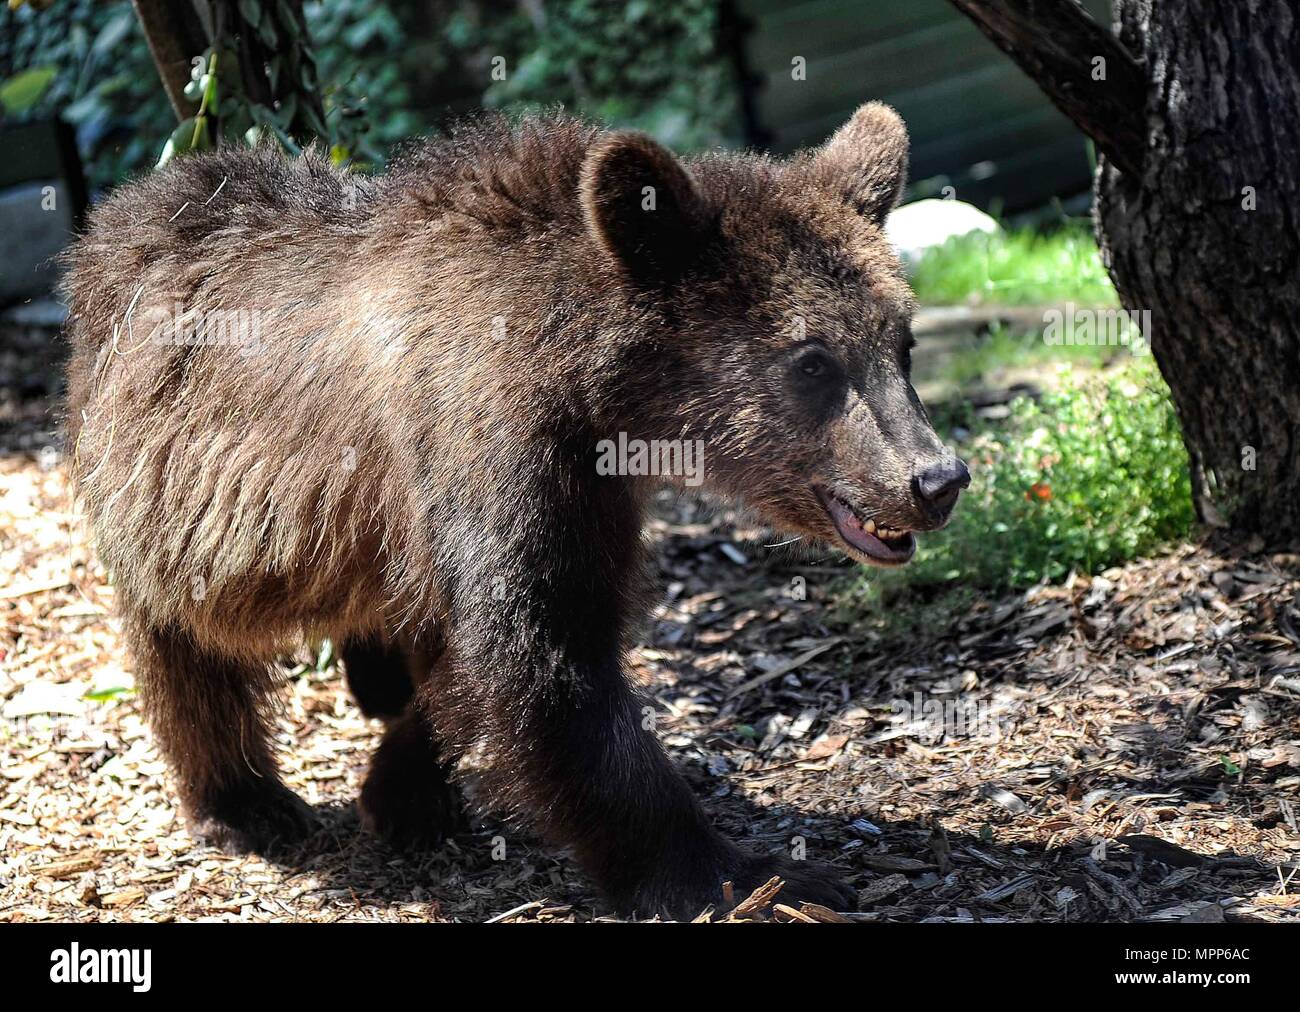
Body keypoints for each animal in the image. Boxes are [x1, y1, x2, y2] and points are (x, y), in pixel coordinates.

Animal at [61, 103, 969, 918]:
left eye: (902, 343)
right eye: (812, 361)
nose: (935, 477)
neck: (582, 376)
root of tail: (119, 214)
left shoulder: (582, 491)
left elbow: (485, 652)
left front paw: (405, 791)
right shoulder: (492, 450)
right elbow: (544, 663)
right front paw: (754, 877)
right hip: (156, 489)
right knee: (184, 647)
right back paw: (245, 803)